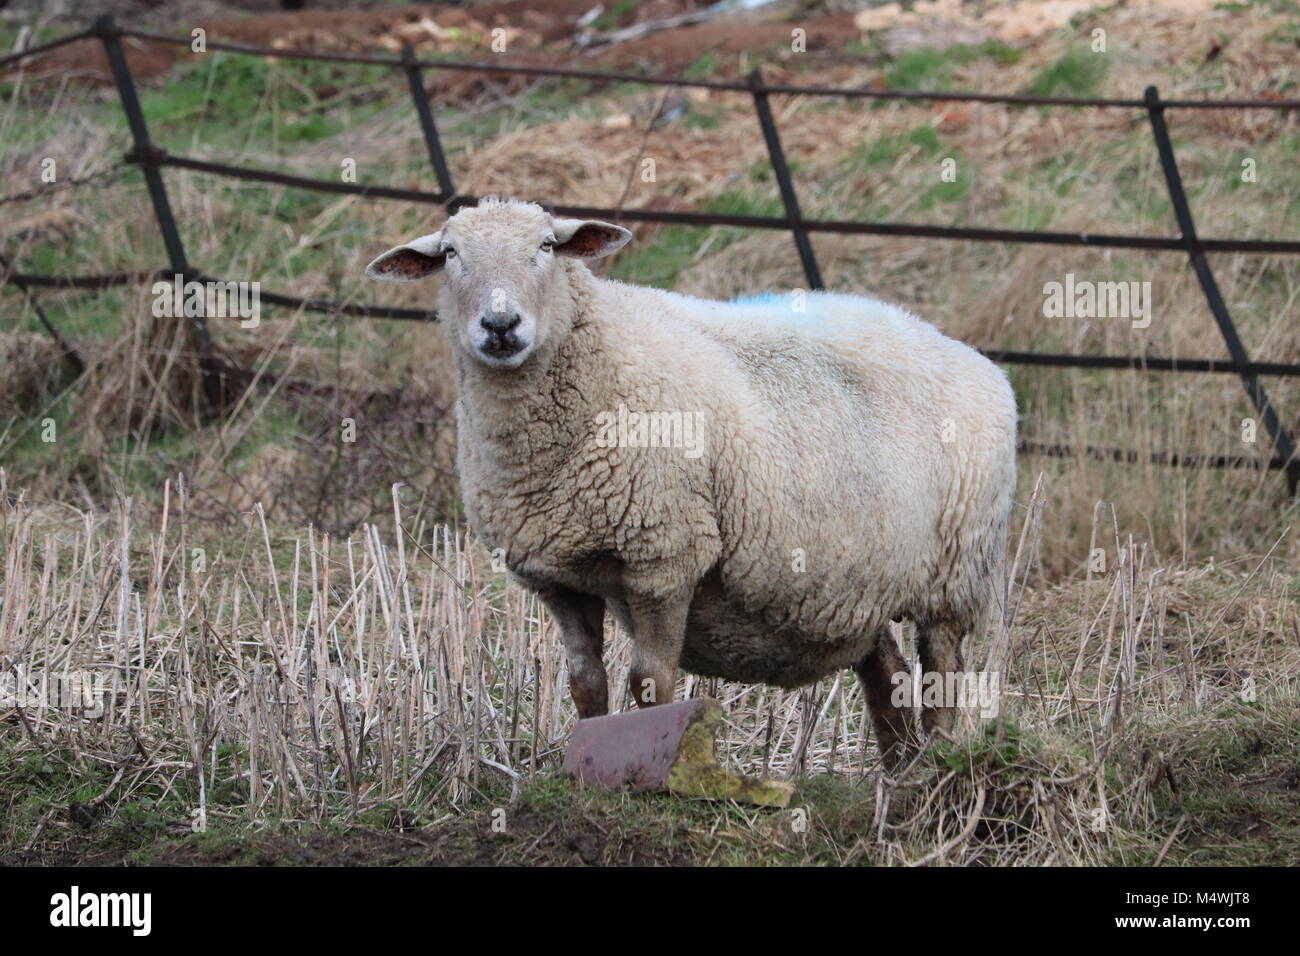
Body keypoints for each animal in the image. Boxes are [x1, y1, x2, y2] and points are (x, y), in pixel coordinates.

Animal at [365, 197, 1018, 765]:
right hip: (856, 586)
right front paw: (586, 760)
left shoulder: (665, 555)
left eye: (547, 246)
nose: (500, 325)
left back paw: (936, 768)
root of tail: (965, 352)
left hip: (955, 569)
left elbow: (649, 682)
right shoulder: (555, 577)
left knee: (940, 675)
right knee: (888, 678)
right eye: (451, 254)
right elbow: (585, 683)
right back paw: (899, 779)